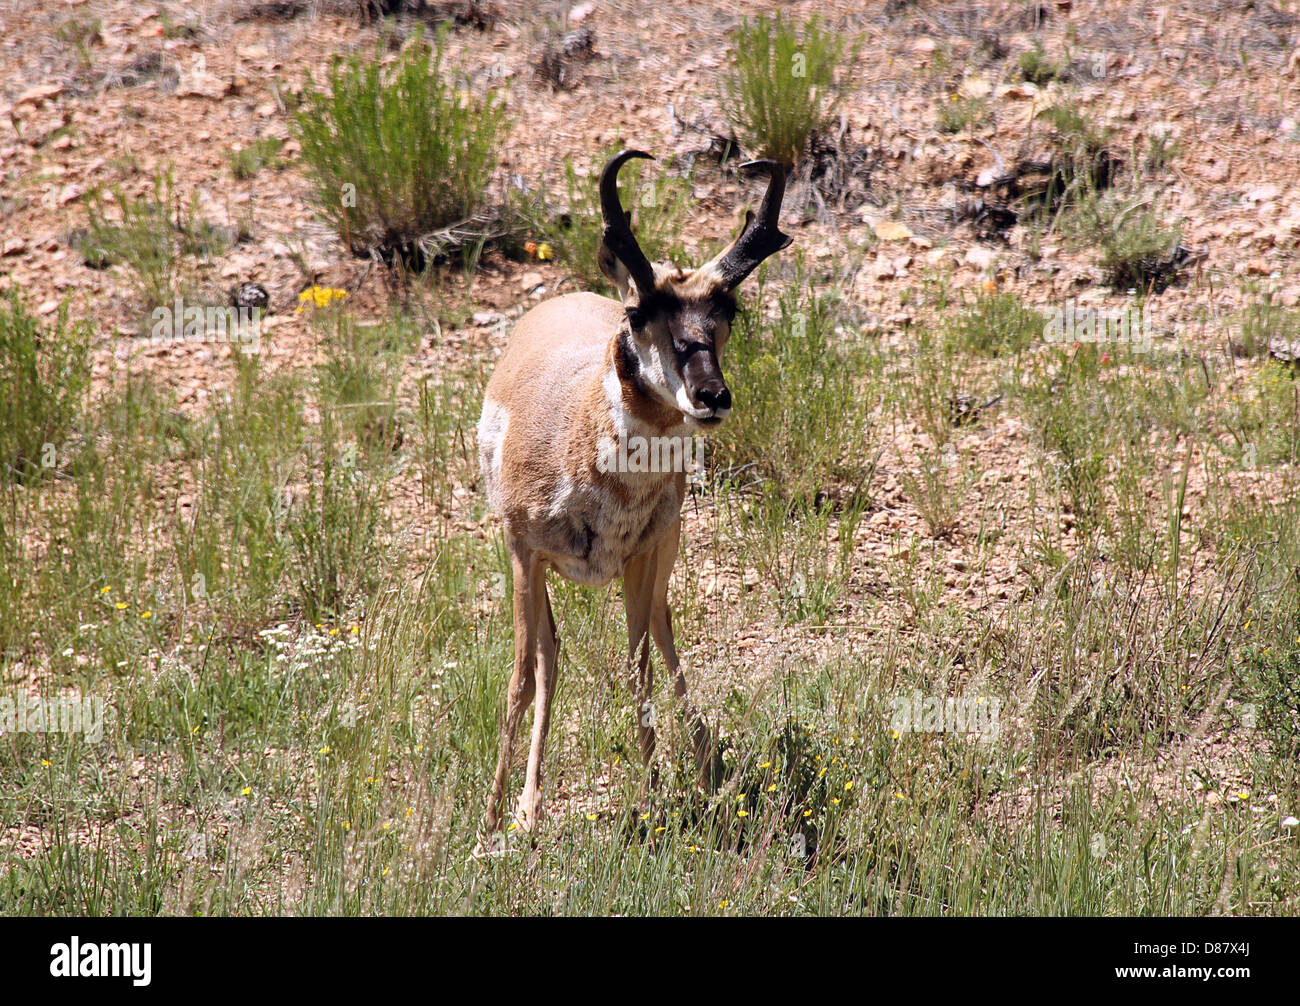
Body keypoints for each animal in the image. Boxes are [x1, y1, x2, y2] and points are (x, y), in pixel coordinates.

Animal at [477, 150, 792, 832]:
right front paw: (492, 817)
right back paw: (528, 806)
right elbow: (521, 676)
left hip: (662, 554)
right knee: (549, 657)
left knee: (660, 634)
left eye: (728, 313)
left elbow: (639, 667)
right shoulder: (522, 553)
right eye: (639, 314)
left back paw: (705, 767)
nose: (711, 396)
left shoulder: (643, 556)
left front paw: (652, 794)